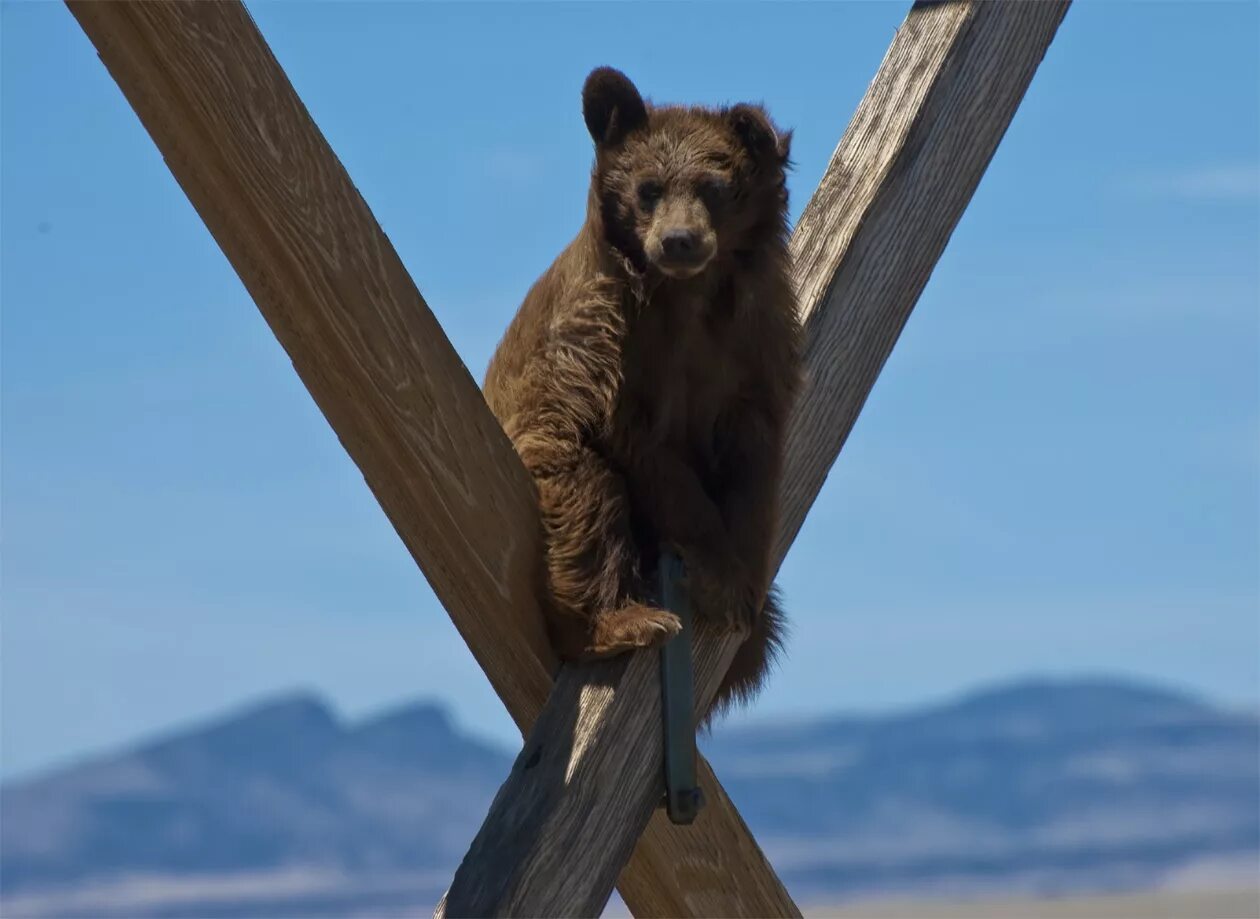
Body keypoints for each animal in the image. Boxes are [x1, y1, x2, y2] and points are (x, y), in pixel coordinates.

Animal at [483, 67, 802, 719]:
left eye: (714, 186)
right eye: (649, 188)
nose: (679, 240)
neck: (687, 299)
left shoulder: (753, 345)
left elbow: (757, 458)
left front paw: (743, 581)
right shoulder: (602, 346)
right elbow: (639, 449)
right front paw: (719, 577)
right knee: (586, 497)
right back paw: (623, 622)